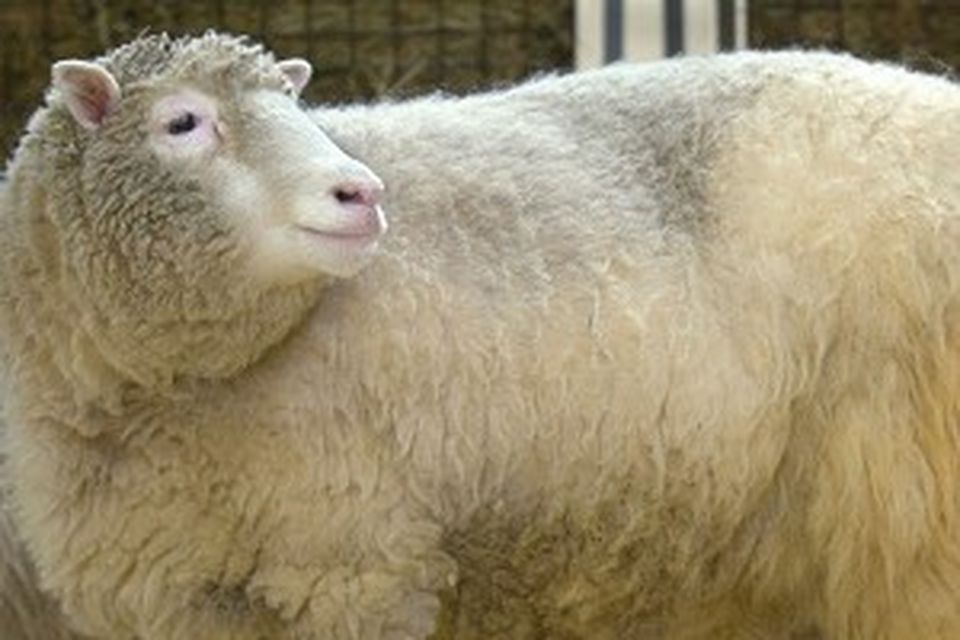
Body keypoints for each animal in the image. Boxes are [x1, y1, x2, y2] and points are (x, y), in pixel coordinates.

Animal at [1, 30, 959, 640]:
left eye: (302, 111)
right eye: (182, 122)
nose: (361, 192)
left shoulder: (349, 570)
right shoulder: (198, 594)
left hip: (909, 507)